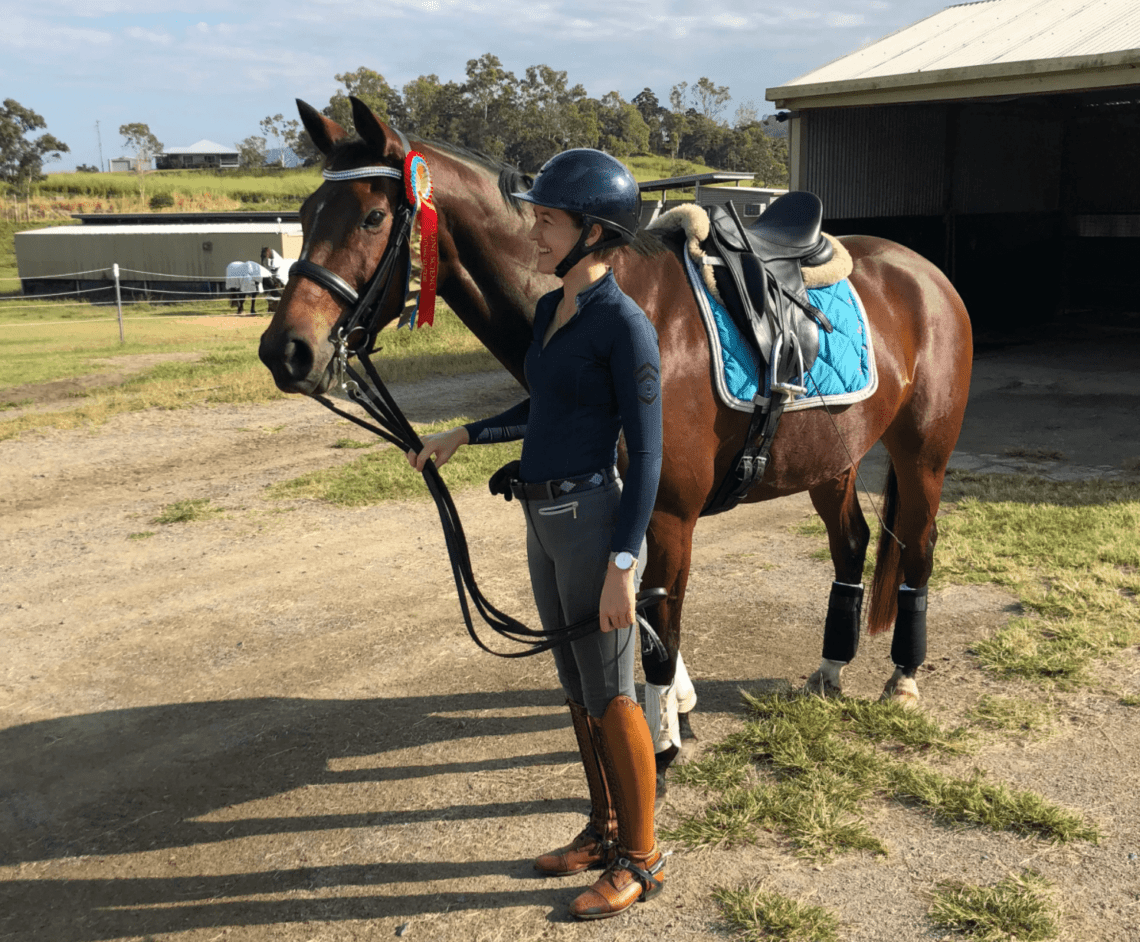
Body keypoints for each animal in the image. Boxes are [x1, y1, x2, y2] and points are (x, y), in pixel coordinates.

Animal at [259, 97, 973, 782]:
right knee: (851, 543)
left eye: (374, 217)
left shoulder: (670, 515)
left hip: (923, 455)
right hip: (832, 459)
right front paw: (678, 704)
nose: (285, 351)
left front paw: (662, 743)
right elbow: (641, 614)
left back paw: (904, 678)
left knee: (919, 546)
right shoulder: (628, 510)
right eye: (306, 212)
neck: (626, 307)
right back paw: (829, 669)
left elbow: (658, 619)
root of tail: (923, 271)